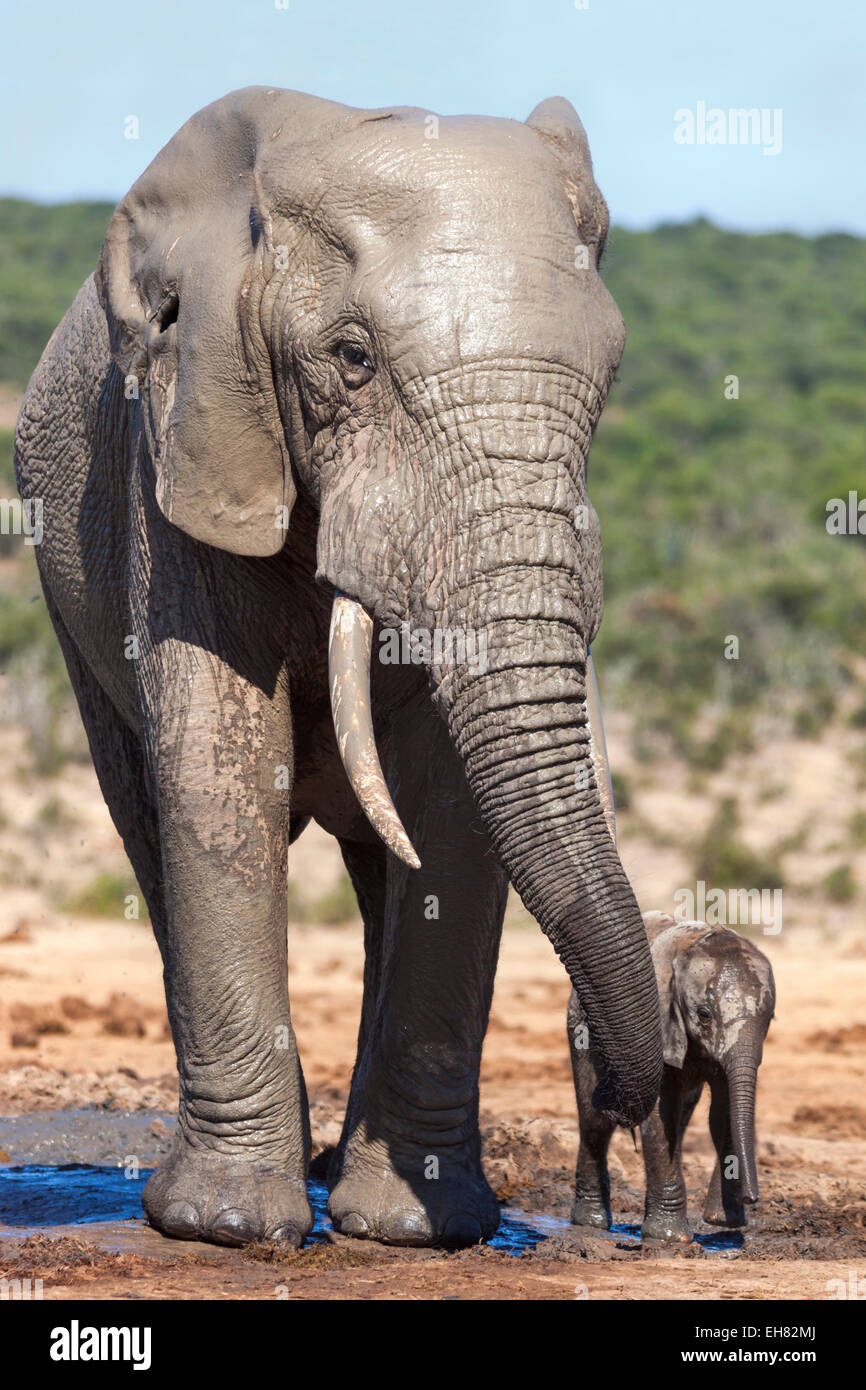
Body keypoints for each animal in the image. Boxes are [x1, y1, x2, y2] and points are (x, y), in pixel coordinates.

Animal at [14, 86, 663, 1249]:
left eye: (612, 374)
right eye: (351, 358)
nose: (616, 1090)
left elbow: (448, 805)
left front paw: (415, 1226)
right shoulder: (183, 442)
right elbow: (218, 769)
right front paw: (225, 1223)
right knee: (146, 818)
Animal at [568, 911, 776, 1242]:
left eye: (769, 1020)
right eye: (704, 1015)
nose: (752, 1198)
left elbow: (722, 1113)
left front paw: (723, 1221)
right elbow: (659, 1113)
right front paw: (669, 1238)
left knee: (681, 1119)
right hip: (580, 1028)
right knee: (595, 1122)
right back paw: (590, 1223)